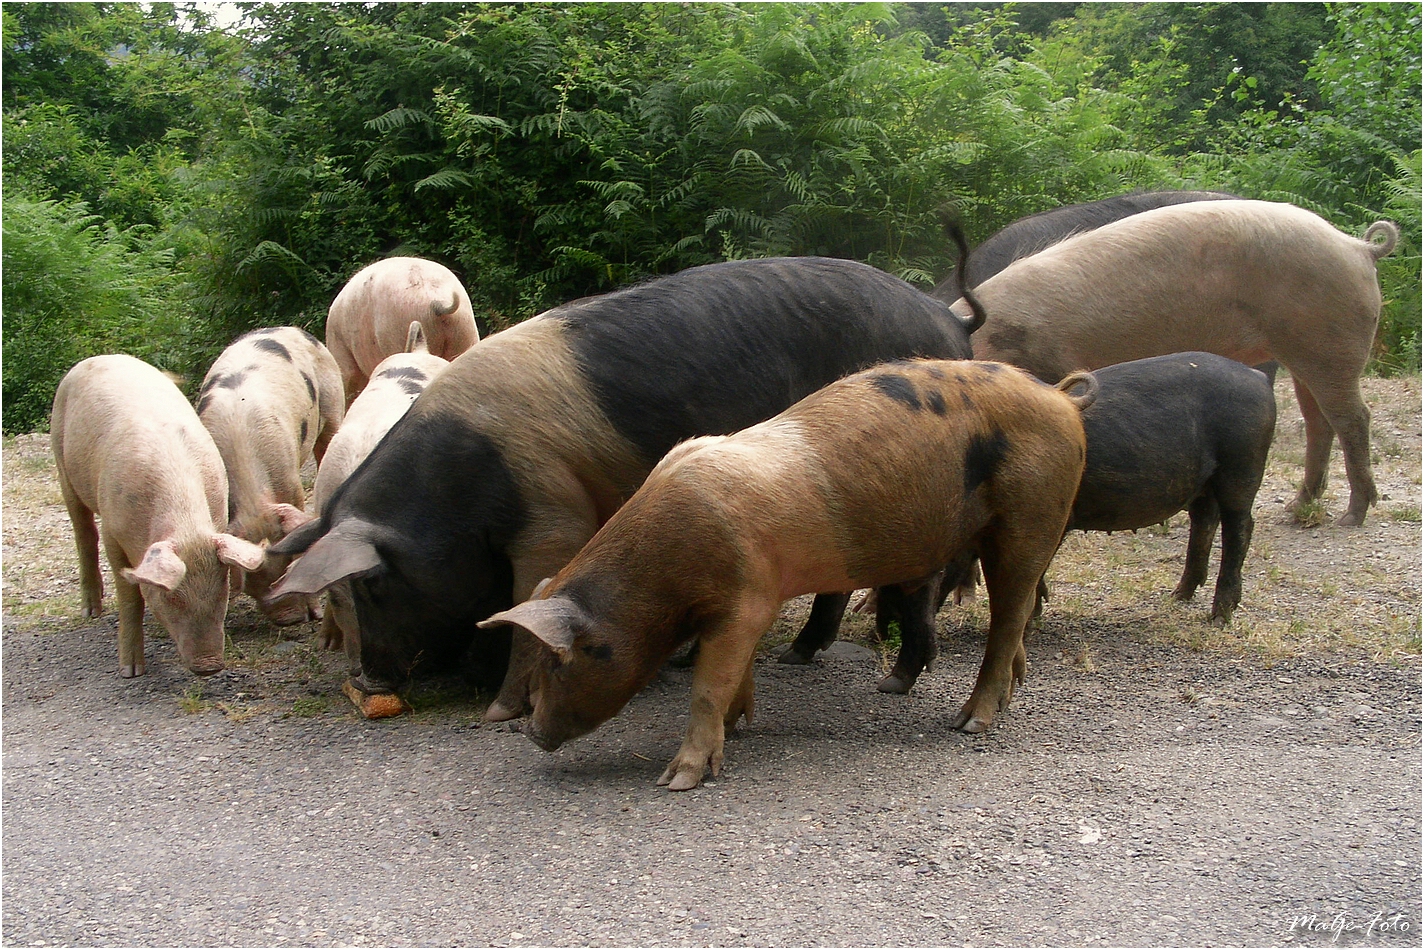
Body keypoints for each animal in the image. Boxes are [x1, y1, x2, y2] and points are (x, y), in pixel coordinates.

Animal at [51, 355, 268, 677]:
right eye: (170, 597)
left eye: (222, 590)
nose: (209, 665)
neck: (185, 525)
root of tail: (102, 356)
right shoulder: (114, 531)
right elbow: (129, 596)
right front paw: (130, 671)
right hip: (62, 461)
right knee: (84, 532)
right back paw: (91, 612)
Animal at [196, 327, 344, 624]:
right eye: (252, 583)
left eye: (286, 569)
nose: (289, 618)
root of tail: (287, 329)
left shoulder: (290, 484)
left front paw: (315, 613)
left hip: (333, 398)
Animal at [478, 360, 1097, 790]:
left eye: (558, 661)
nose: (528, 731)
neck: (665, 570)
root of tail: (1058, 396)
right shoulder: (754, 600)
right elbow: (735, 672)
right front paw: (742, 724)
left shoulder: (742, 599)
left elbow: (706, 685)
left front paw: (677, 781)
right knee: (1016, 618)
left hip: (1034, 512)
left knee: (1009, 613)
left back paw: (970, 723)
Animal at [955, 199, 1398, 526]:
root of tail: (1359, 248)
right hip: (1301, 350)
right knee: (1318, 421)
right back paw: (1296, 507)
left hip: (1330, 344)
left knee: (1353, 417)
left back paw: (1352, 516)